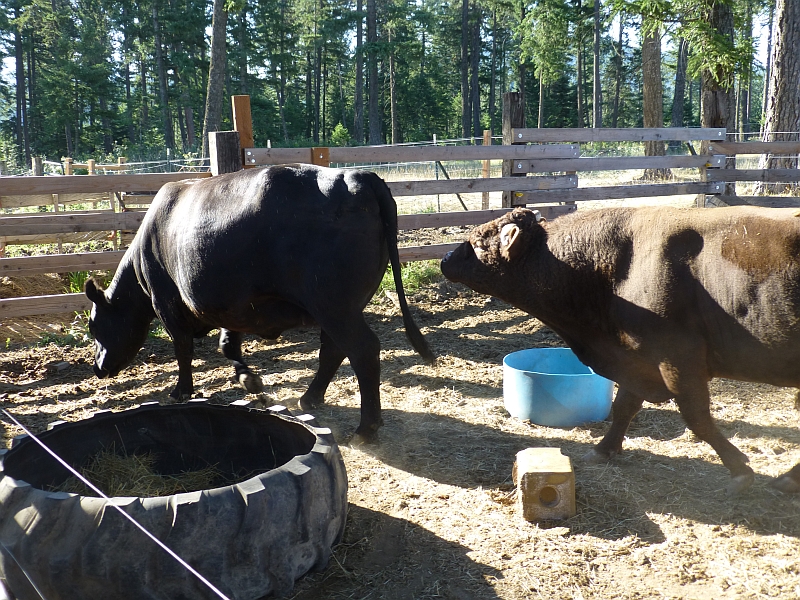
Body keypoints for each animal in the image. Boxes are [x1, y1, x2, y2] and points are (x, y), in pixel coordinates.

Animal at [85, 164, 434, 441]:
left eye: (94, 326)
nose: (98, 367)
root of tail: (358, 175)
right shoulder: (234, 307)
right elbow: (228, 345)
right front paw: (247, 377)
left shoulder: (168, 304)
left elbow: (183, 350)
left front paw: (182, 390)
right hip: (337, 308)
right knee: (334, 350)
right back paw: (310, 398)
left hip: (334, 306)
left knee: (362, 350)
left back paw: (365, 428)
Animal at [441, 205, 800, 496]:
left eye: (477, 242)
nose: (444, 260)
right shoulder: (638, 360)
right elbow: (624, 406)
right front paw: (602, 450)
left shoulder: (677, 359)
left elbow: (696, 418)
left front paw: (739, 470)